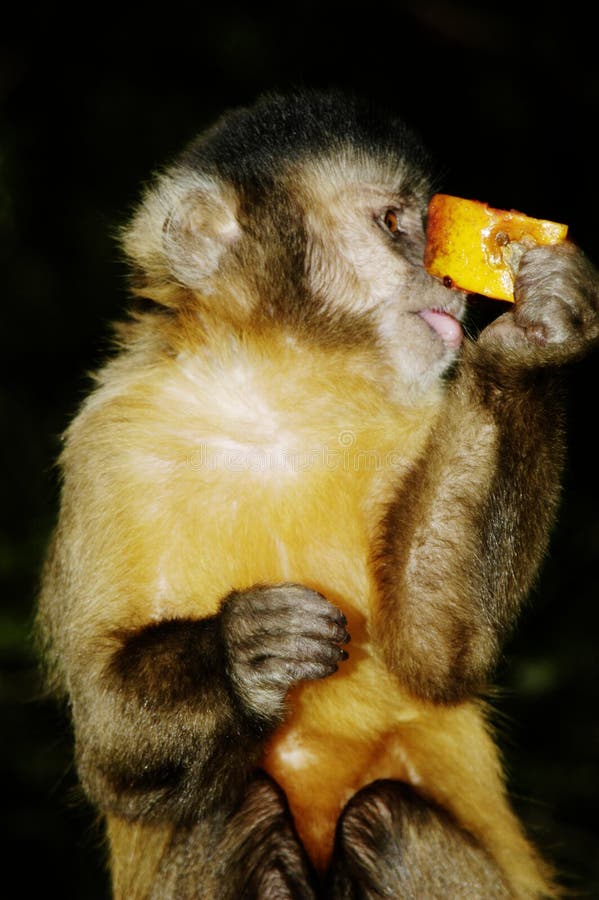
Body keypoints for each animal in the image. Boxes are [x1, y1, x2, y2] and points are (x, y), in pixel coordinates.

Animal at [37, 89, 599, 899]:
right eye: (393, 223)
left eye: (428, 227)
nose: (452, 285)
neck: (280, 394)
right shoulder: (107, 440)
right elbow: (107, 755)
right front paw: (242, 656)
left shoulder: (419, 410)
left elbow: (435, 655)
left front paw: (531, 341)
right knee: (228, 811)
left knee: (385, 818)